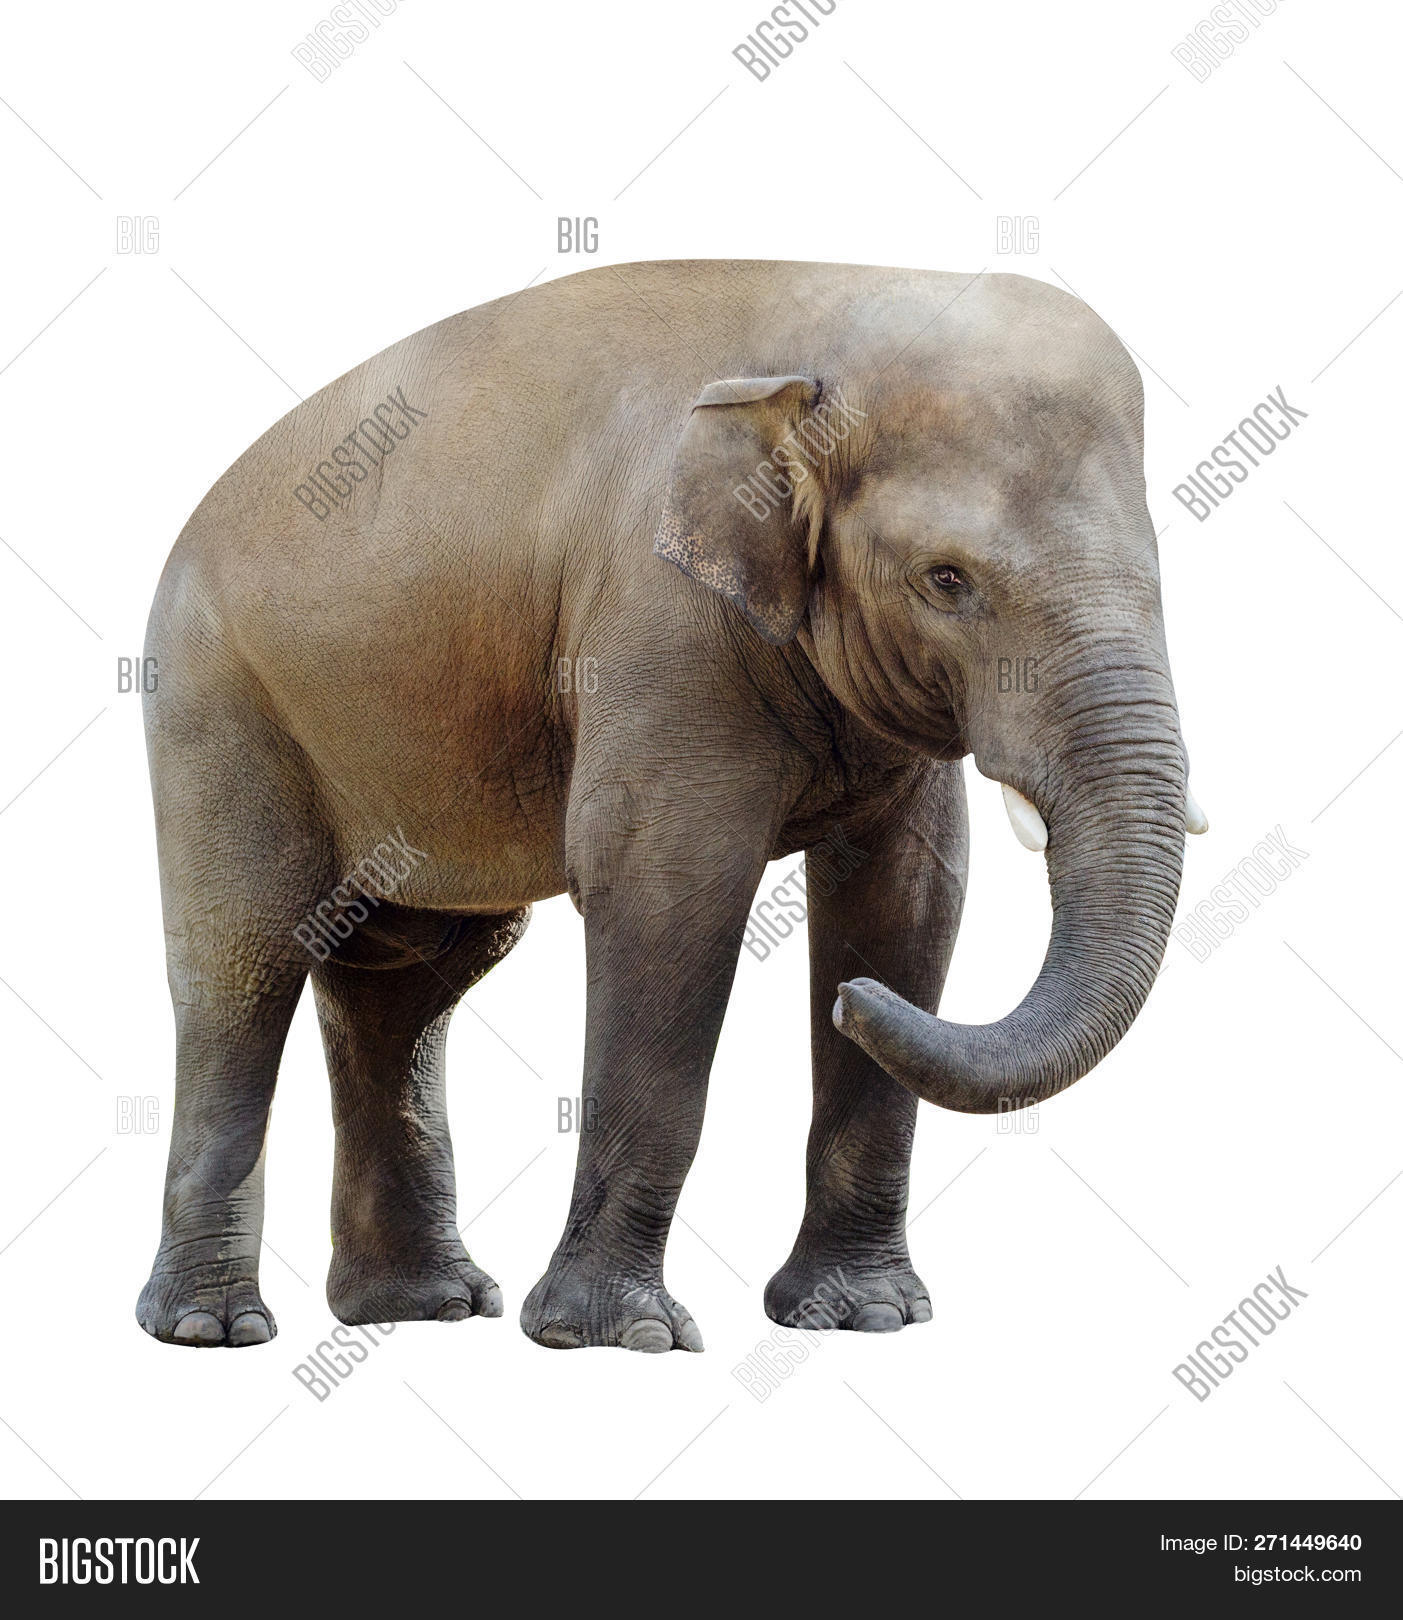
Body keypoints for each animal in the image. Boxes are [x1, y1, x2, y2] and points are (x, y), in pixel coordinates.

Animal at [136, 259, 1204, 1353]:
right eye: (945, 580)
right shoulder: (657, 620)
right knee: (245, 962)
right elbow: (666, 887)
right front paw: (620, 1337)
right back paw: (212, 1329)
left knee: (411, 979)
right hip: (216, 704)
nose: (850, 1002)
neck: (822, 313)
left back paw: (420, 1308)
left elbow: (909, 898)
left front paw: (859, 1317)